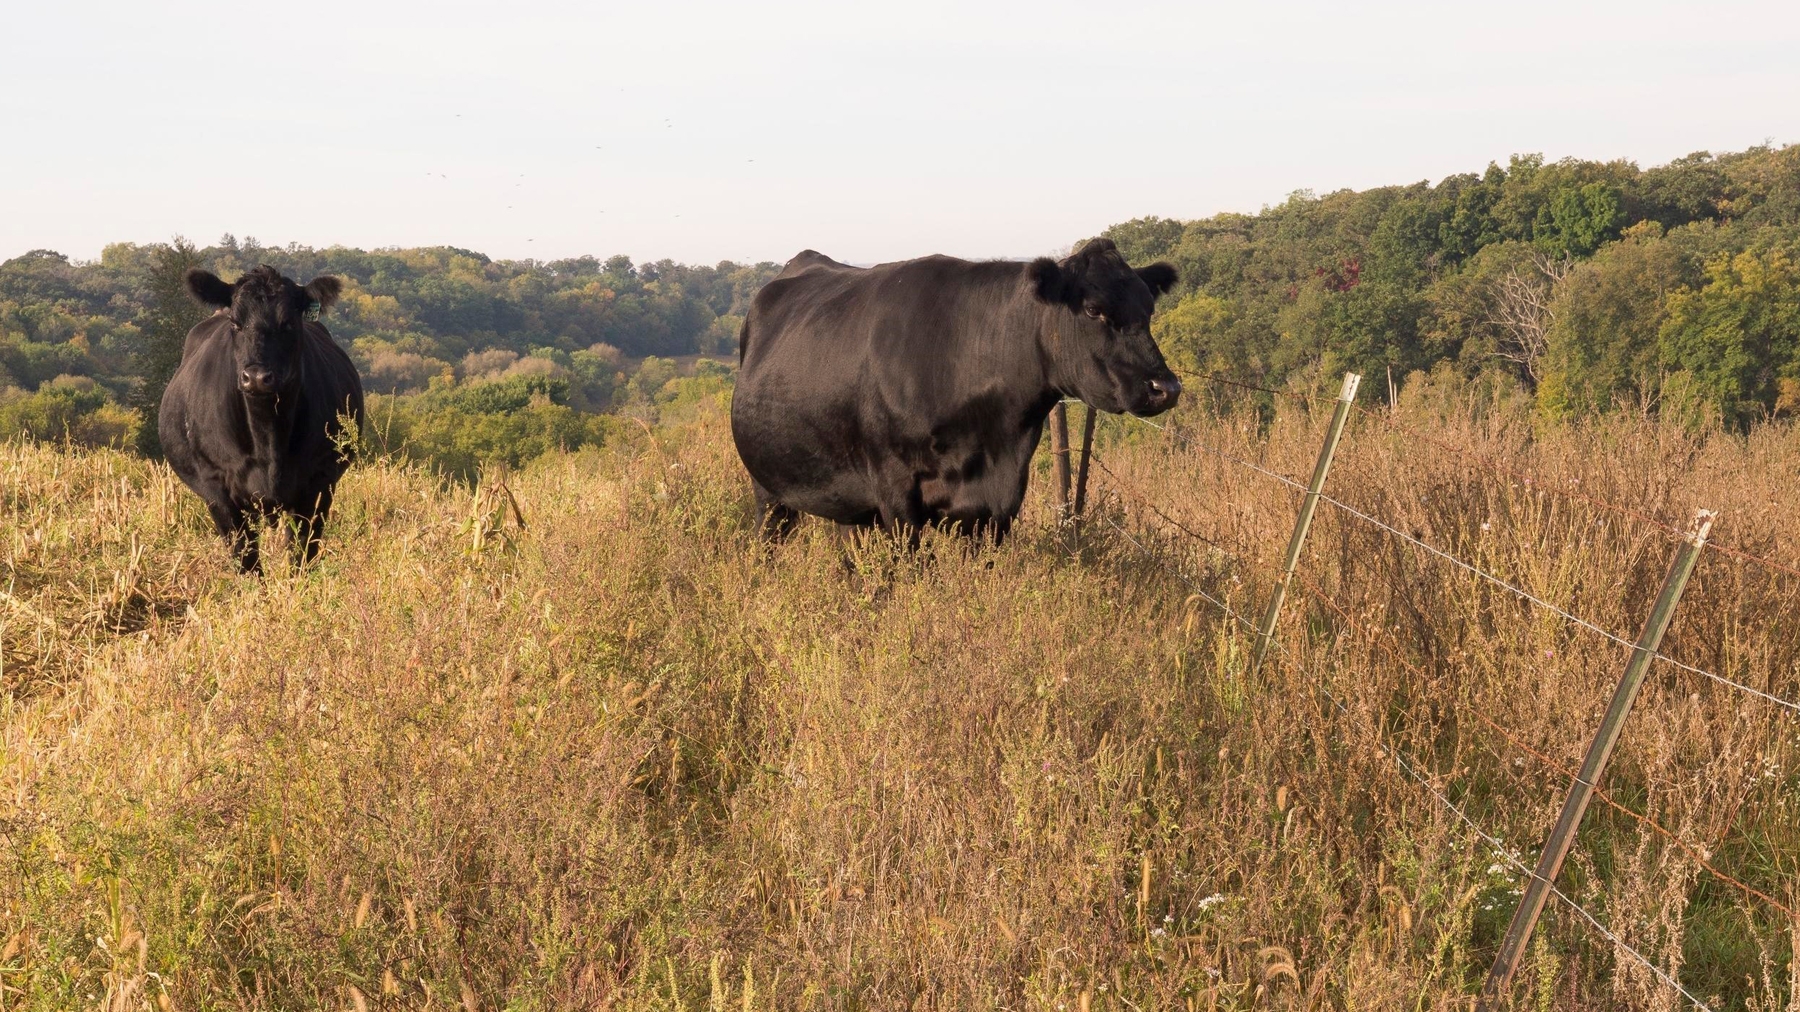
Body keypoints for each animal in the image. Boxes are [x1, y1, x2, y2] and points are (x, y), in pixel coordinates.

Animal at [158, 265, 365, 572]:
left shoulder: (319, 482)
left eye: (288, 323)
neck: (268, 437)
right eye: (235, 323)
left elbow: (302, 553)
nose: (256, 377)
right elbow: (246, 560)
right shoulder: (218, 490)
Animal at [730, 237, 1181, 544]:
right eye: (1092, 309)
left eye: (1149, 308)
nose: (1166, 386)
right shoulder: (896, 494)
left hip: (849, 504)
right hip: (769, 488)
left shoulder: (997, 503)